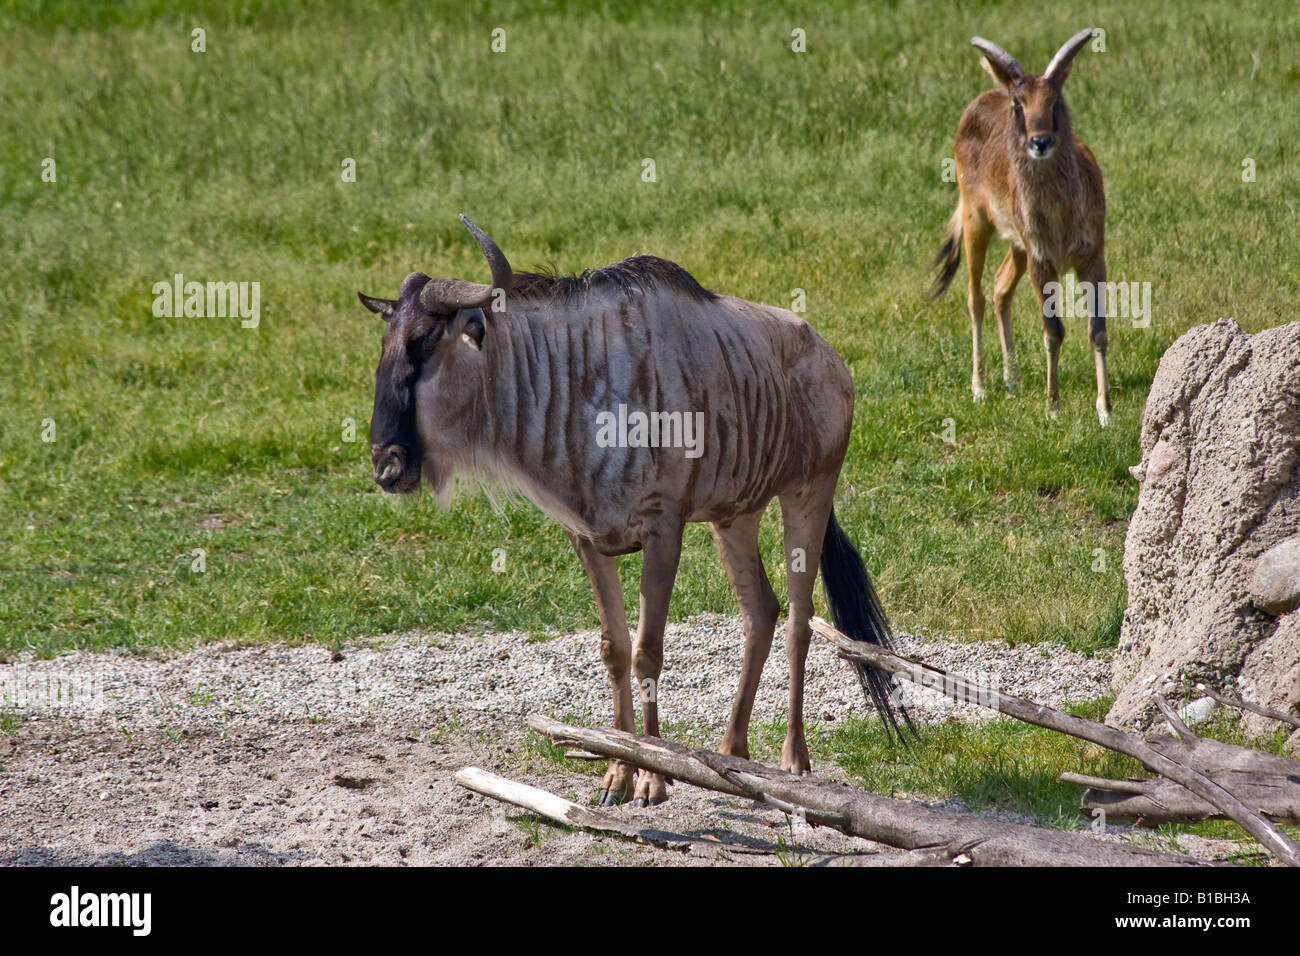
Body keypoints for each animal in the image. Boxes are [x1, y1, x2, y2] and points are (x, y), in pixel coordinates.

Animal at [360, 216, 911, 806]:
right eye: (384, 348)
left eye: (424, 342)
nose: (387, 466)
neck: (578, 390)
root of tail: (831, 358)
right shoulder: (585, 536)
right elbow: (615, 649)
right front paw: (617, 773)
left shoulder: (663, 529)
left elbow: (649, 650)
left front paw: (654, 776)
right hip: (734, 517)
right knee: (760, 611)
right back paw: (732, 754)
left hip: (809, 495)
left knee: (799, 622)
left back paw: (793, 762)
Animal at [931, 29, 1110, 426]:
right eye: (1019, 103)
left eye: (1055, 99)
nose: (1039, 141)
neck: (1061, 224)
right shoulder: (1041, 258)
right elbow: (1053, 330)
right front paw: (1053, 407)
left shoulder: (1092, 252)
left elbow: (1098, 329)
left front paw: (1105, 410)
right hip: (975, 217)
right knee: (975, 295)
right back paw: (980, 388)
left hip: (1016, 242)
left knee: (1000, 287)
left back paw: (1012, 379)